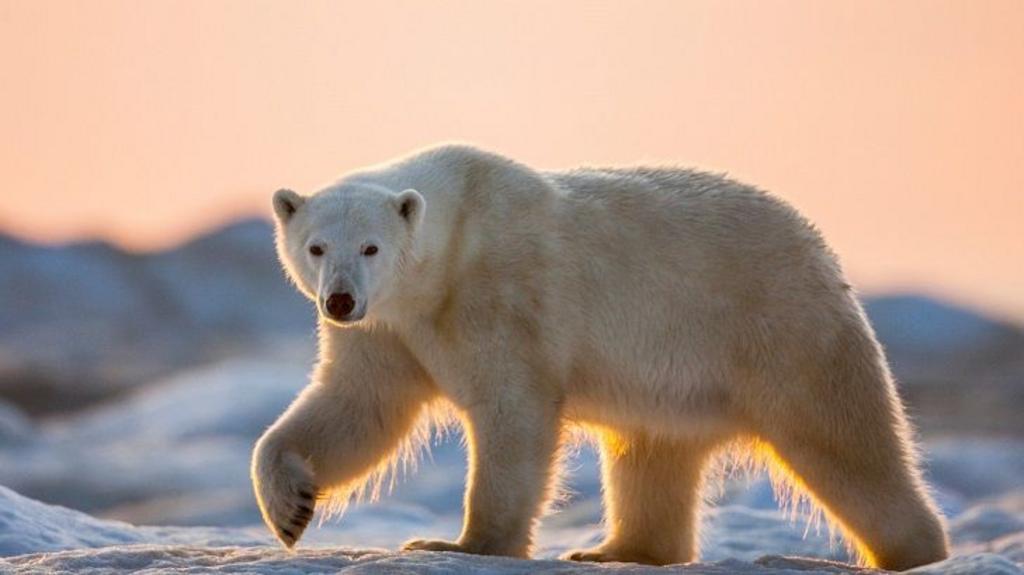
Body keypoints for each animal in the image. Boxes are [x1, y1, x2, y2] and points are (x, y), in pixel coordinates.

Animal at [251, 144, 949, 570]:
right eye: (316, 246)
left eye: (371, 247)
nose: (340, 300)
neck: (447, 251)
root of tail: (817, 246)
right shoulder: (390, 330)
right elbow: (358, 408)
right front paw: (290, 509)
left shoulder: (498, 294)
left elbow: (513, 412)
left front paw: (462, 542)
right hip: (675, 380)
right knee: (651, 453)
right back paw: (617, 550)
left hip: (777, 328)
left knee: (842, 442)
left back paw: (916, 550)